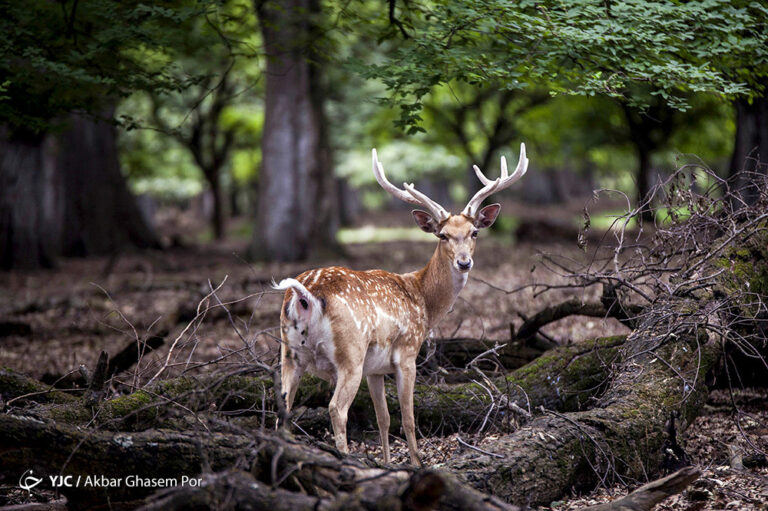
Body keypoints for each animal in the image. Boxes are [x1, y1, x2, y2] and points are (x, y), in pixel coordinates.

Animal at [272, 143, 529, 465]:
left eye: (474, 232)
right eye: (443, 235)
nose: (464, 262)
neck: (423, 300)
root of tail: (305, 295)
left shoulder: (375, 369)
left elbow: (383, 418)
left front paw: (387, 463)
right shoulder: (407, 353)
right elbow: (407, 418)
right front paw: (417, 464)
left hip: (289, 352)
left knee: (282, 408)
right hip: (350, 354)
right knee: (336, 409)